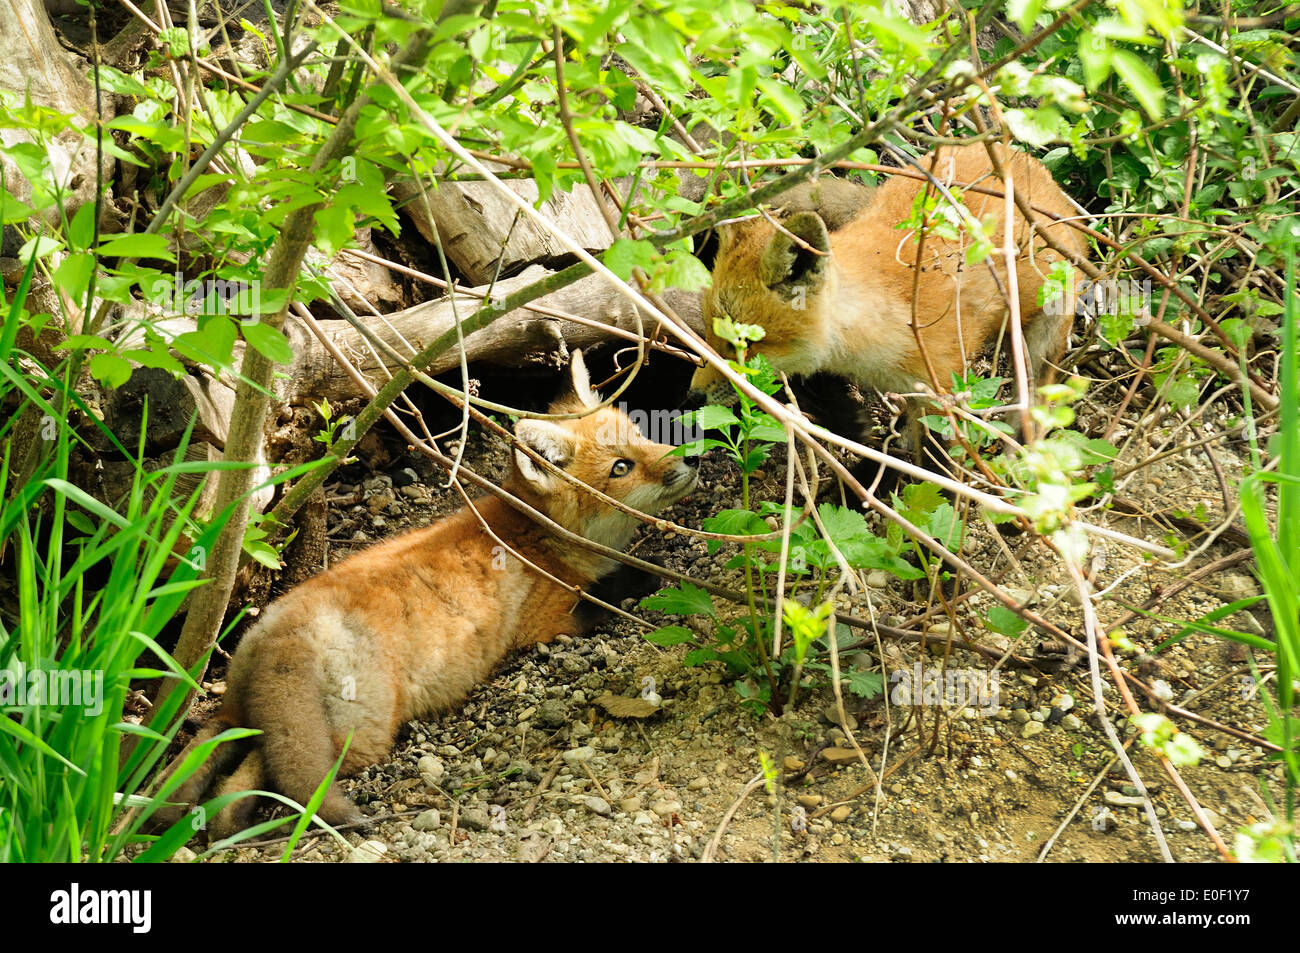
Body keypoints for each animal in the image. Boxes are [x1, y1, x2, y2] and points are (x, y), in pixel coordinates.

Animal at [160, 352, 697, 839]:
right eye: (621, 467)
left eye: (641, 434)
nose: (691, 456)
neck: (537, 536)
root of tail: (281, 632)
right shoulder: (551, 619)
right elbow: (617, 590)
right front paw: (655, 579)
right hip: (355, 733)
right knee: (264, 773)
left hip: (248, 715)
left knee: (220, 752)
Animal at [689, 141, 1086, 448]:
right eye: (709, 331)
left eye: (742, 342)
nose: (692, 396)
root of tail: (1027, 161)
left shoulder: (942, 390)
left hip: (1043, 336)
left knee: (1035, 400)